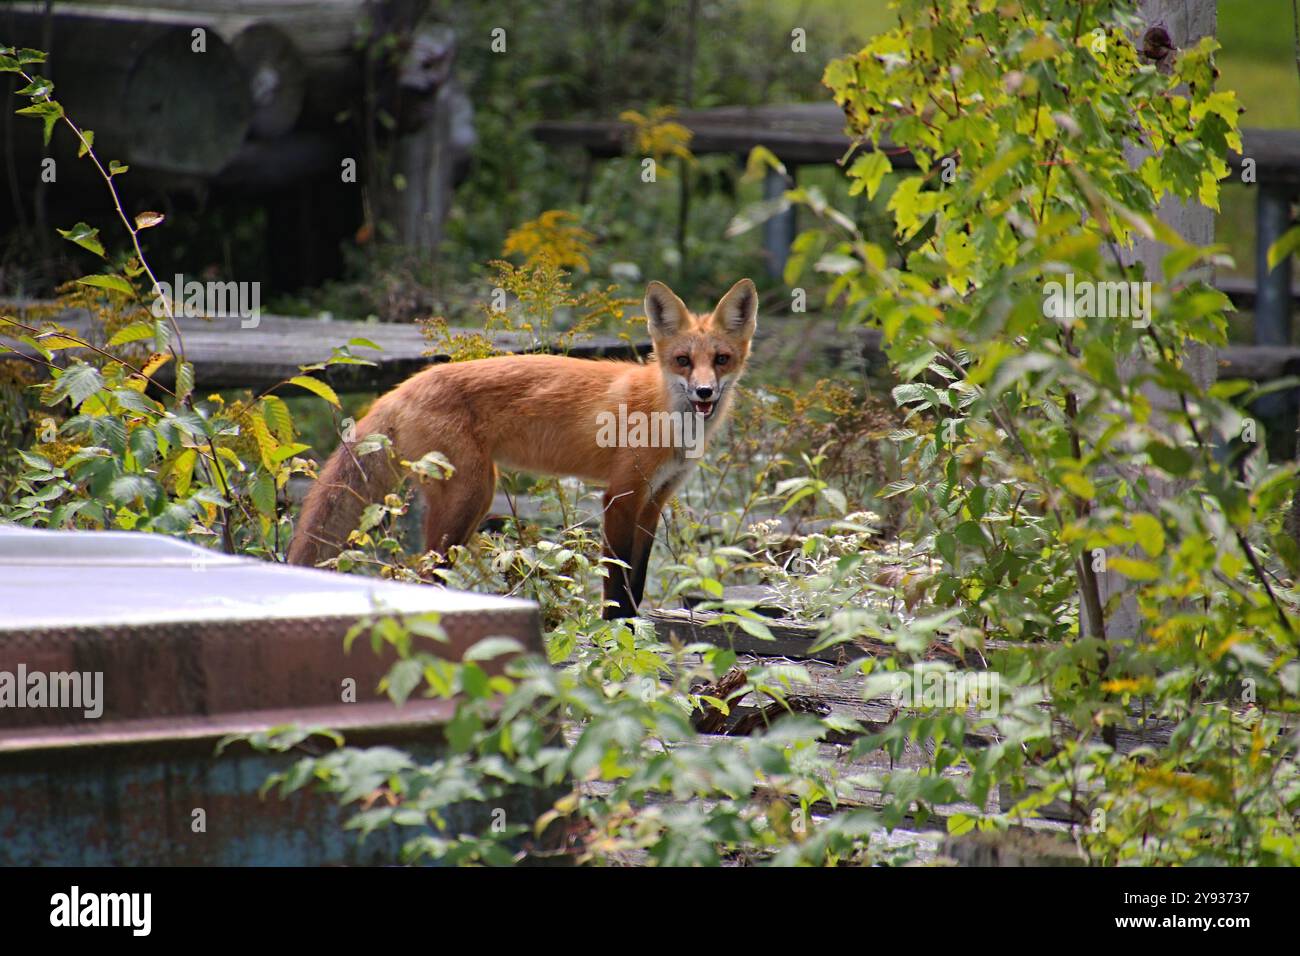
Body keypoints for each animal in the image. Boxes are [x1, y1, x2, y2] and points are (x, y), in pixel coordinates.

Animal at [287, 277, 759, 618]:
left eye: (720, 360)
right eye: (683, 360)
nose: (704, 393)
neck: (664, 415)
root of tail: (407, 384)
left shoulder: (653, 501)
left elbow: (637, 581)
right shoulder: (620, 497)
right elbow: (616, 585)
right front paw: (616, 635)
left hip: (475, 502)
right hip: (468, 498)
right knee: (423, 576)